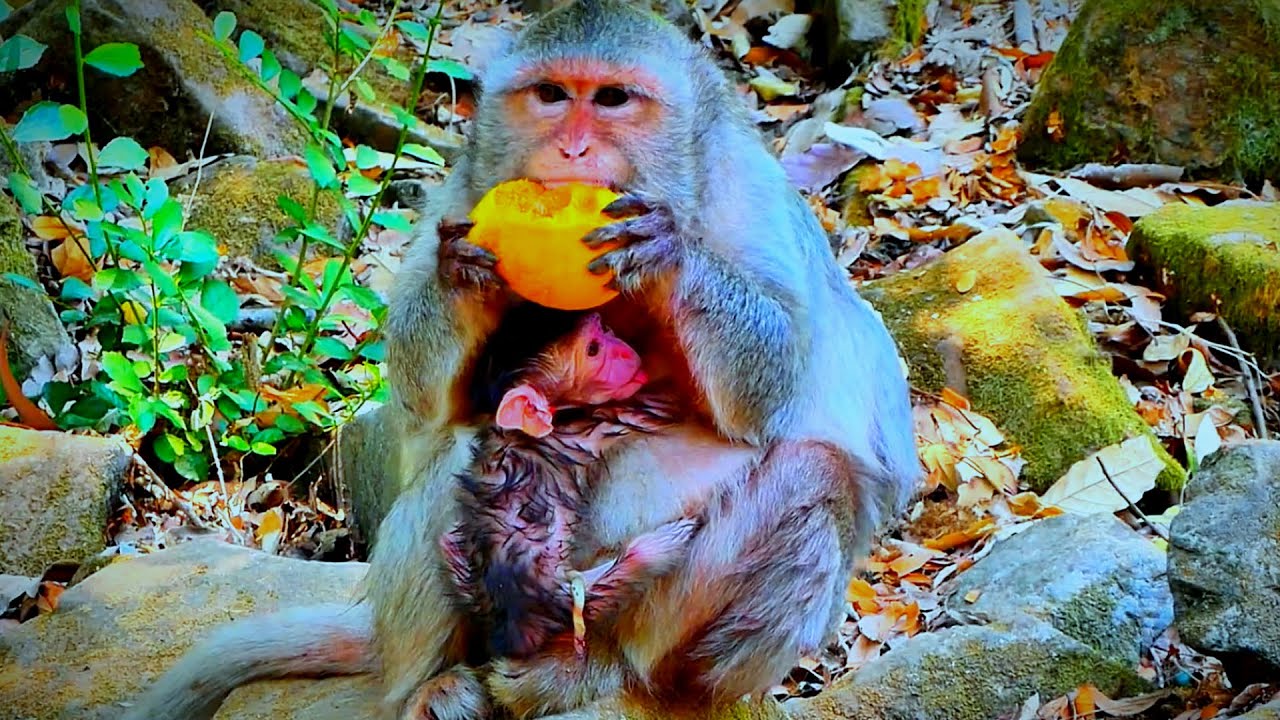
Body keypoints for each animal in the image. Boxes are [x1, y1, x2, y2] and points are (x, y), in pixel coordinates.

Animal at [119, 0, 921, 718]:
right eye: (551, 95)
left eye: (612, 99)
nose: (571, 150)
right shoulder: (462, 189)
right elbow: (427, 397)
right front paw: (461, 276)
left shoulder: (752, 200)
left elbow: (771, 387)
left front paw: (668, 255)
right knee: (464, 459)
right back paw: (428, 685)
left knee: (811, 476)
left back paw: (600, 672)